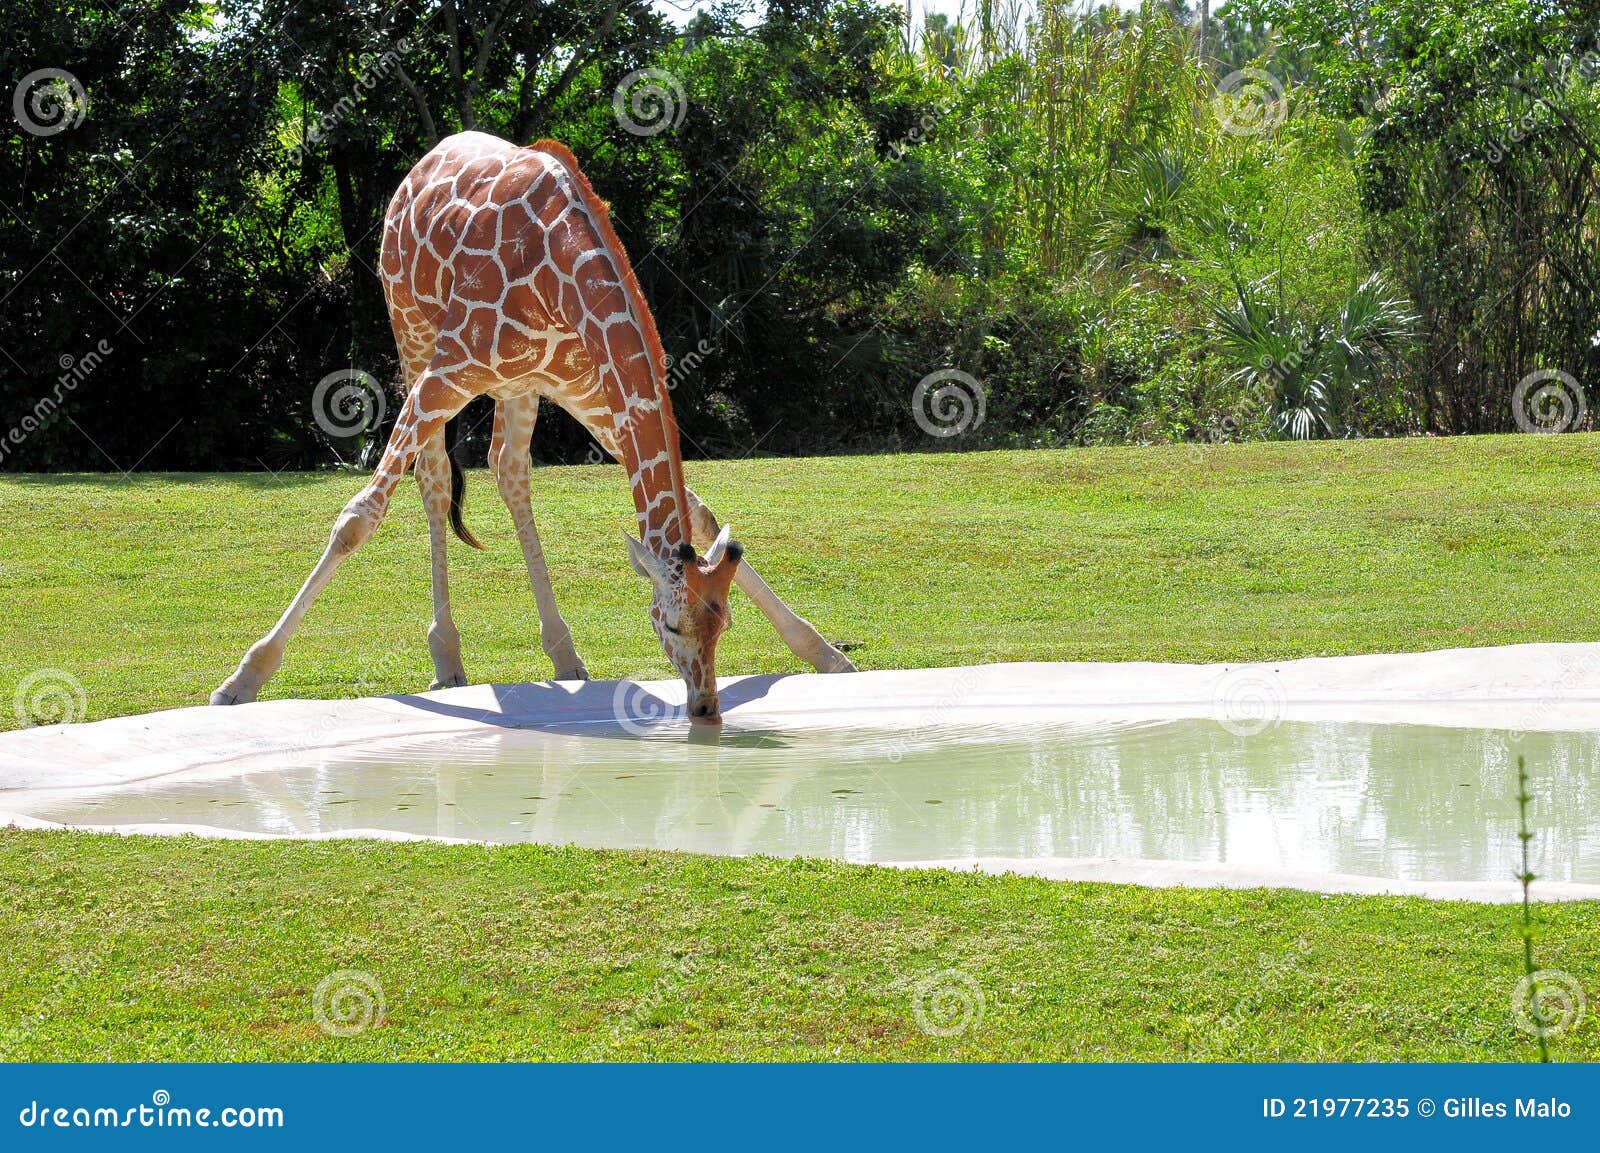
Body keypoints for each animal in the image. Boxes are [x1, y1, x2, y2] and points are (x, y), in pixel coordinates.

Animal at [211, 131, 855, 725]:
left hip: (524, 386)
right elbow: (357, 519)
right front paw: (244, 678)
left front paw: (824, 652)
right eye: (669, 625)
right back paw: (448, 657)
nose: (704, 708)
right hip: (413, 335)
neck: (560, 276)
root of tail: (425, 160)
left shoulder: (593, 389)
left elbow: (698, 509)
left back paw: (563, 653)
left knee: (507, 468)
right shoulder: (447, 370)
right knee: (436, 476)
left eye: (724, 624)